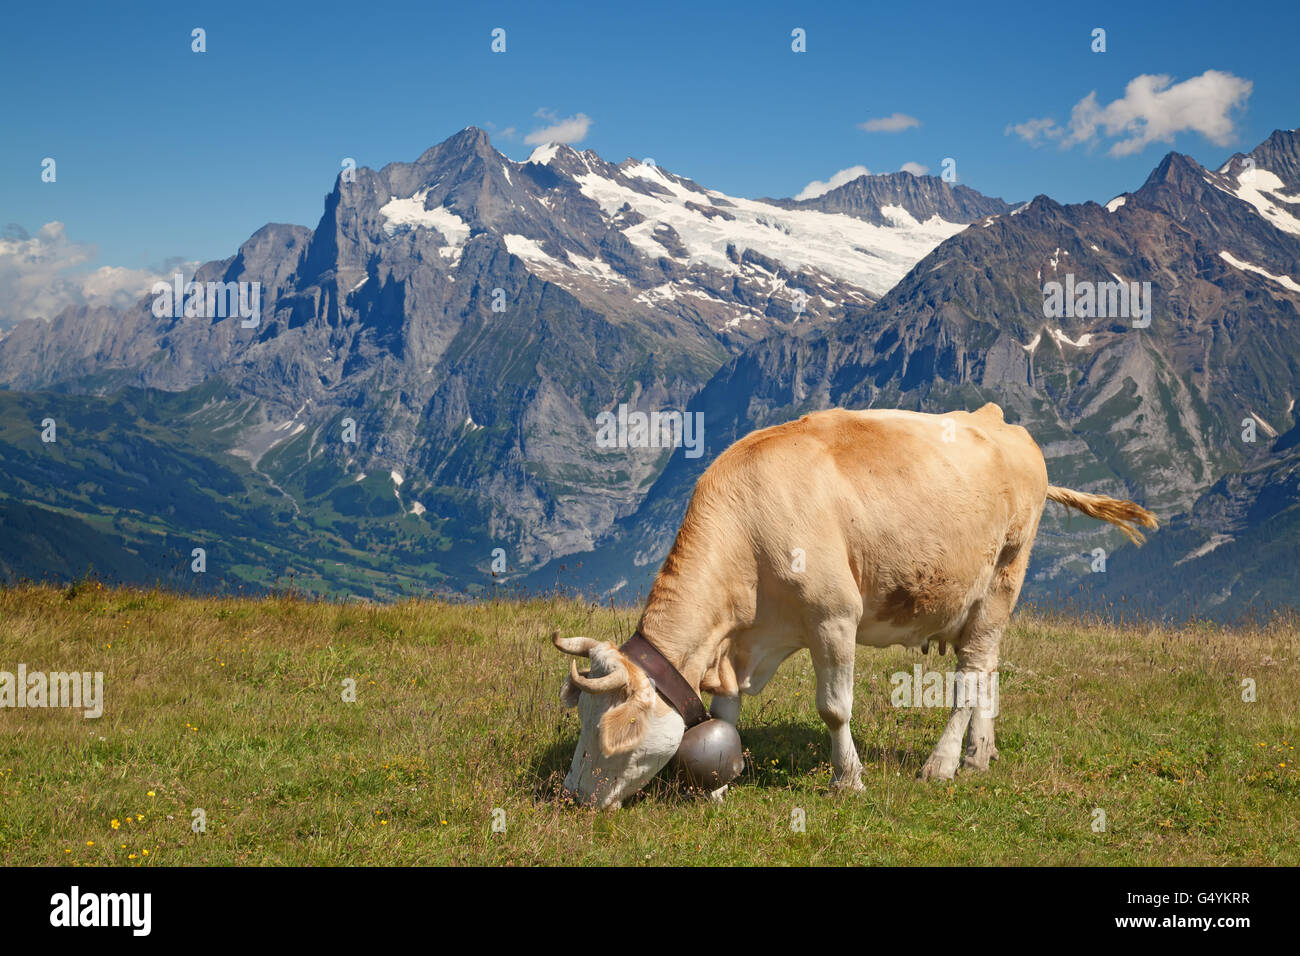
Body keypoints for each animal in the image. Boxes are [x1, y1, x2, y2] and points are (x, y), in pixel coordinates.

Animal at [553, 405, 1157, 808]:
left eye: (611, 729)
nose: (573, 797)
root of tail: (1002, 423)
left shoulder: (833, 617)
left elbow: (834, 708)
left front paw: (848, 779)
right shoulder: (740, 645)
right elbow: (725, 711)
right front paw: (724, 784)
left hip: (1003, 579)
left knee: (969, 676)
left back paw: (942, 763)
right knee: (986, 667)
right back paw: (979, 755)